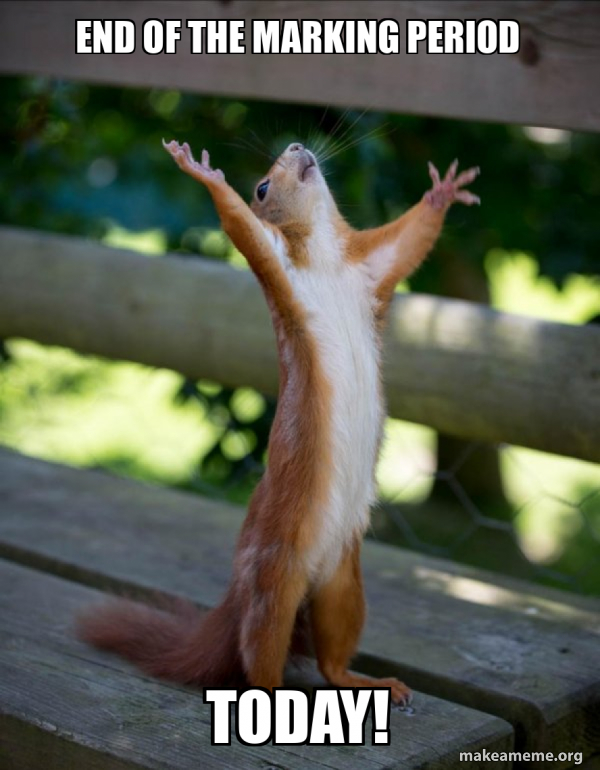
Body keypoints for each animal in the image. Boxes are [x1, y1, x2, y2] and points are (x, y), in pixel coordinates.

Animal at [77, 139, 479, 705]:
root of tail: (238, 593)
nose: (296, 146)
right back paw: (271, 695)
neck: (327, 259)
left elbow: (410, 240)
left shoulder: (372, 267)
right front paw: (203, 173)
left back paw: (369, 680)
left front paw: (442, 192)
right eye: (262, 187)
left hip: (343, 585)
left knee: (332, 658)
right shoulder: (277, 264)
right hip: (274, 582)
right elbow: (240, 226)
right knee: (259, 656)